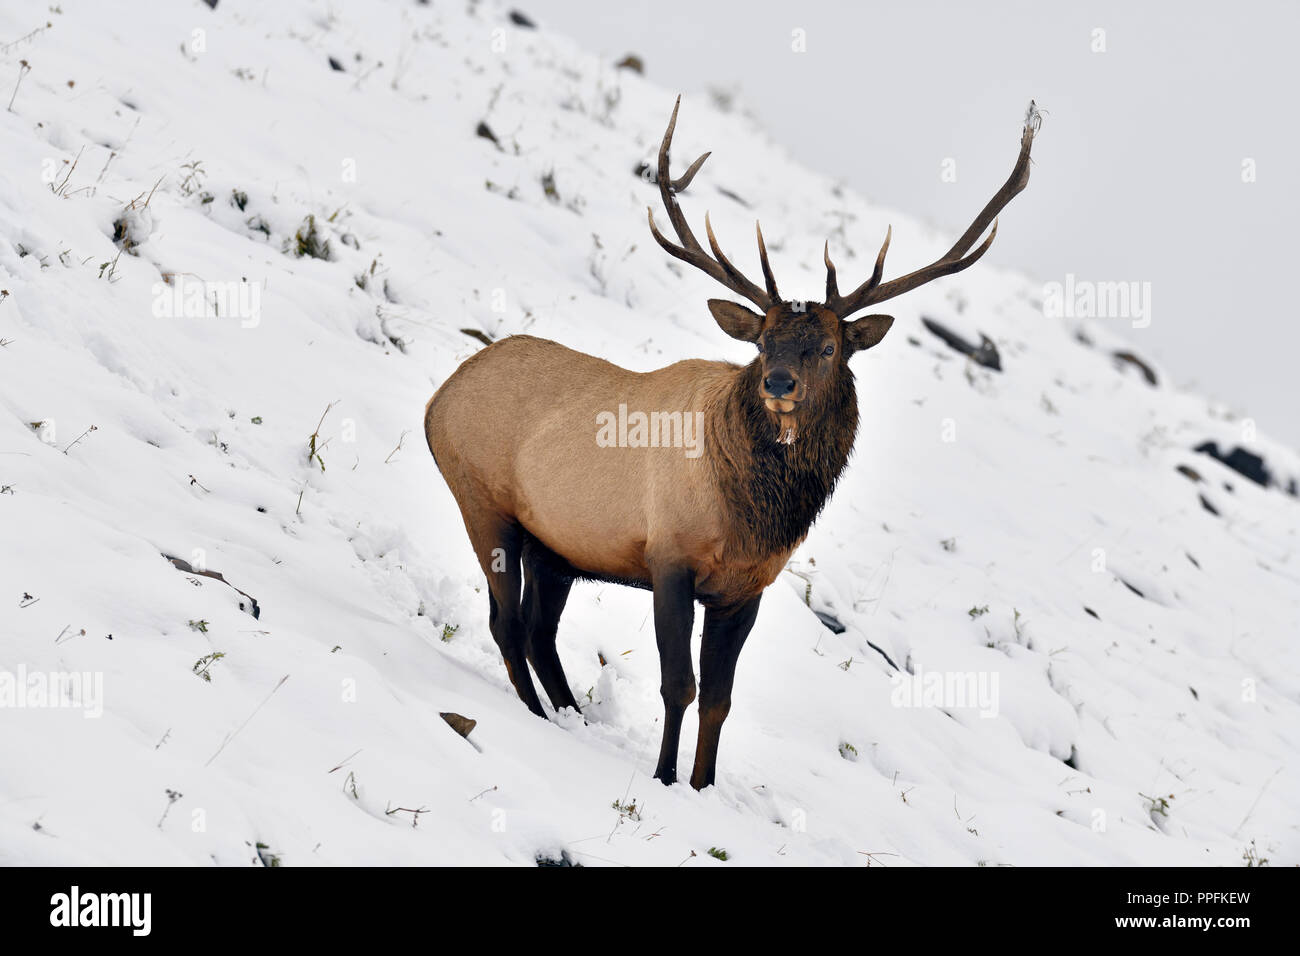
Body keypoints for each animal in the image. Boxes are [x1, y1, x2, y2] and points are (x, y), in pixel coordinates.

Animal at [425, 97, 1039, 789]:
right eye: (763, 340)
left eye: (829, 346)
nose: (778, 382)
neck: (753, 516)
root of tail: (437, 398)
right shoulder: (669, 557)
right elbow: (678, 685)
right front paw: (665, 778)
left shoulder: (746, 589)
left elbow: (719, 699)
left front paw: (702, 785)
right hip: (482, 501)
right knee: (506, 624)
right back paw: (534, 714)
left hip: (554, 546)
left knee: (537, 632)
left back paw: (567, 718)